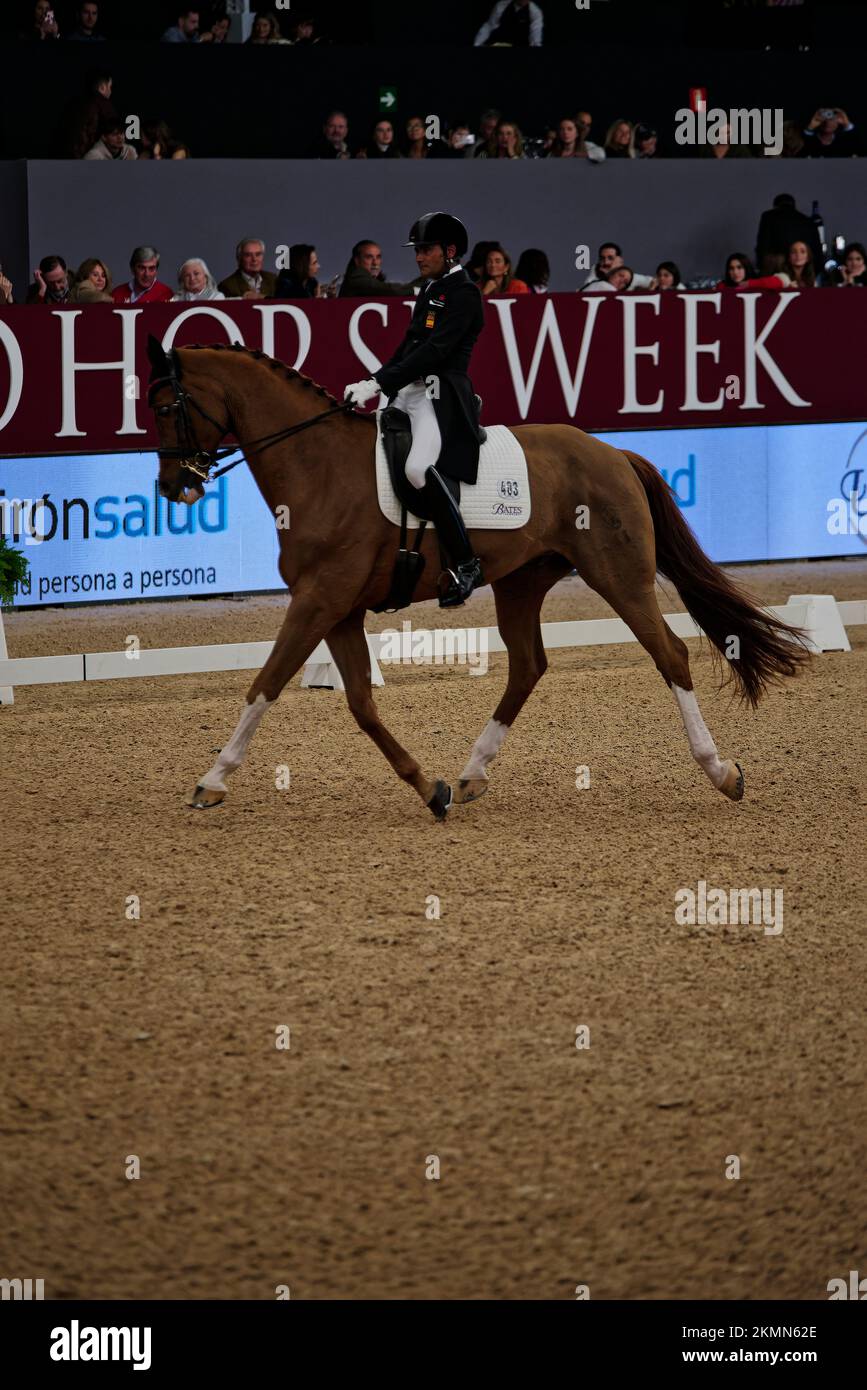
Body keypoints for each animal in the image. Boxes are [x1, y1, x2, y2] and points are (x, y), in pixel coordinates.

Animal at [146, 339, 810, 817]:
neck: (320, 466)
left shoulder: (318, 599)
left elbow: (266, 683)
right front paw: (429, 787)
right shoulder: (339, 608)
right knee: (528, 664)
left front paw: (211, 780)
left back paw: (721, 772)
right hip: (522, 581)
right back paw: (471, 774)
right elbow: (360, 704)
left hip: (619, 576)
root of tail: (613, 452)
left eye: (165, 407)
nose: (173, 488)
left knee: (669, 653)